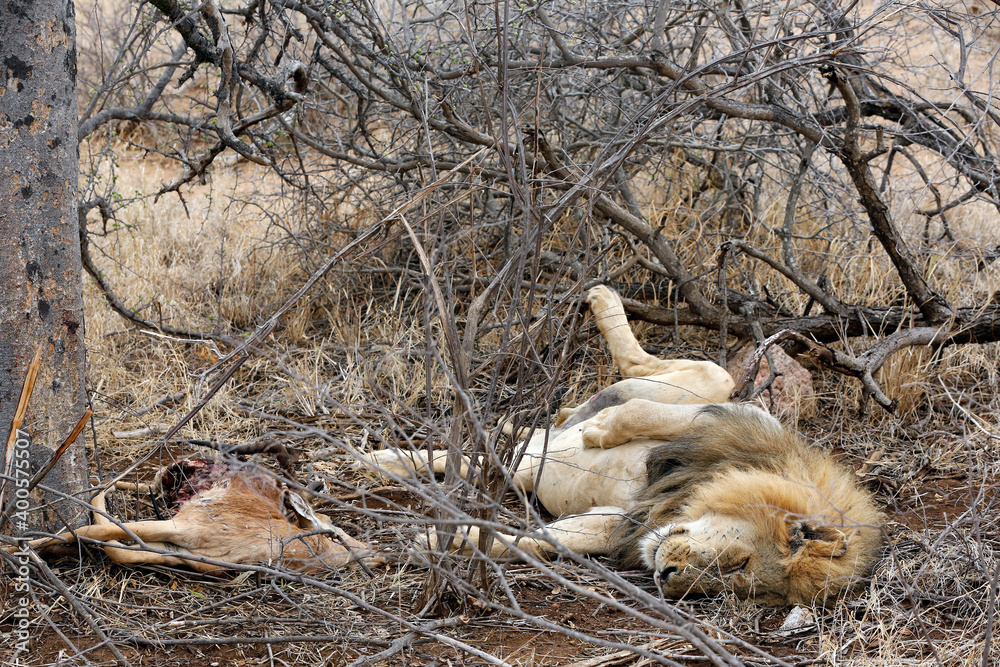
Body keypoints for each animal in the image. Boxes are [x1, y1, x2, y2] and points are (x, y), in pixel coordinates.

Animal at [362, 286, 883, 604]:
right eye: (741, 560)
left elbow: (544, 541)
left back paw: (384, 461)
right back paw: (601, 310)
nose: (666, 576)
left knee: (481, 456)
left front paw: (442, 542)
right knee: (660, 370)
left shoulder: (621, 521)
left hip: (517, 465)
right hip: (669, 385)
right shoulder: (739, 418)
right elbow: (669, 405)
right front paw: (602, 431)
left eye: (729, 587)